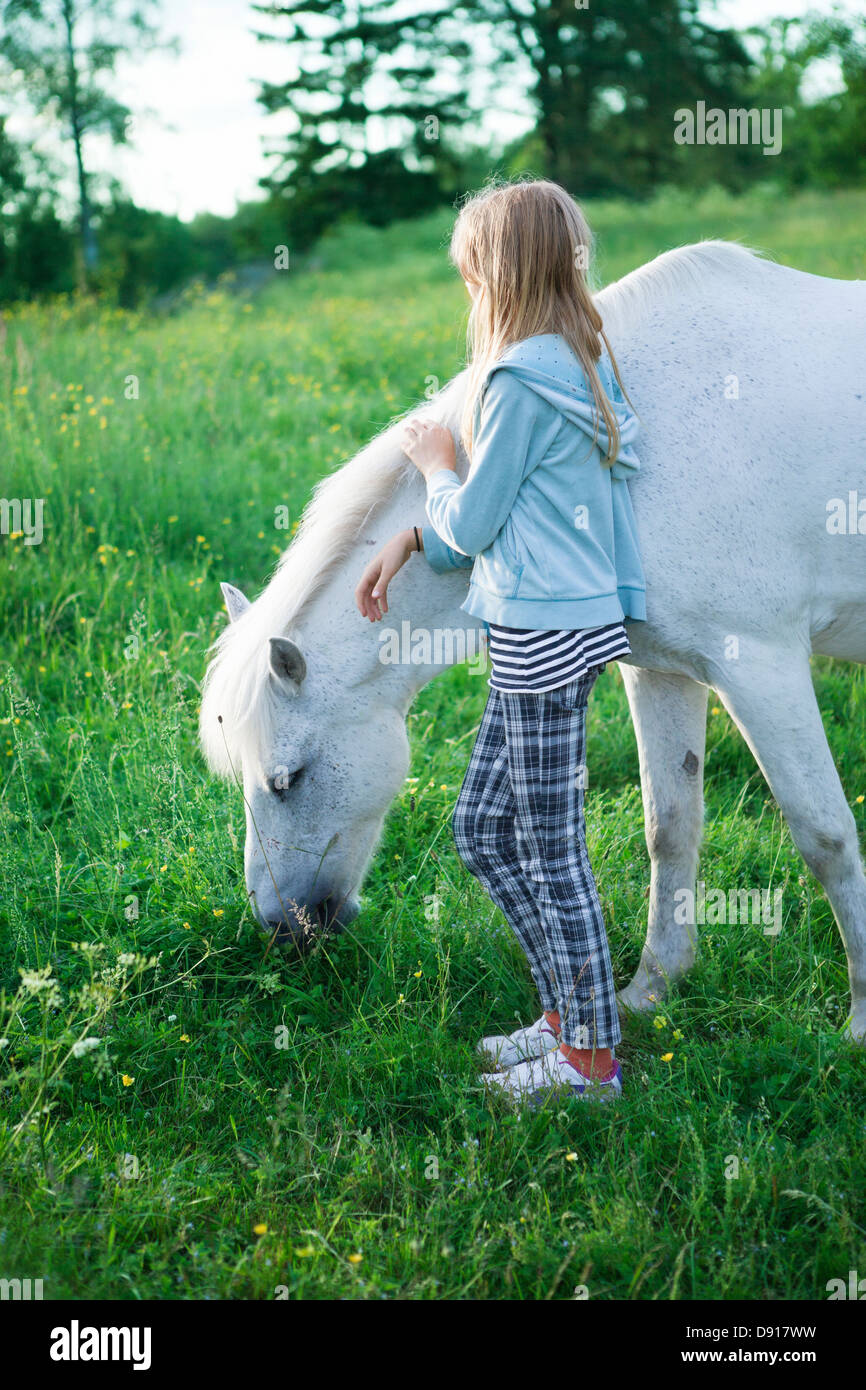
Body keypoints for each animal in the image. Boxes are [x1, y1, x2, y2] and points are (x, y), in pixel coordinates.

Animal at [199, 240, 866, 1040]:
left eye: (286, 780)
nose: (280, 928)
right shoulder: (663, 672)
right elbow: (670, 827)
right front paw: (651, 989)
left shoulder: (762, 667)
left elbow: (825, 836)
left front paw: (861, 1023)